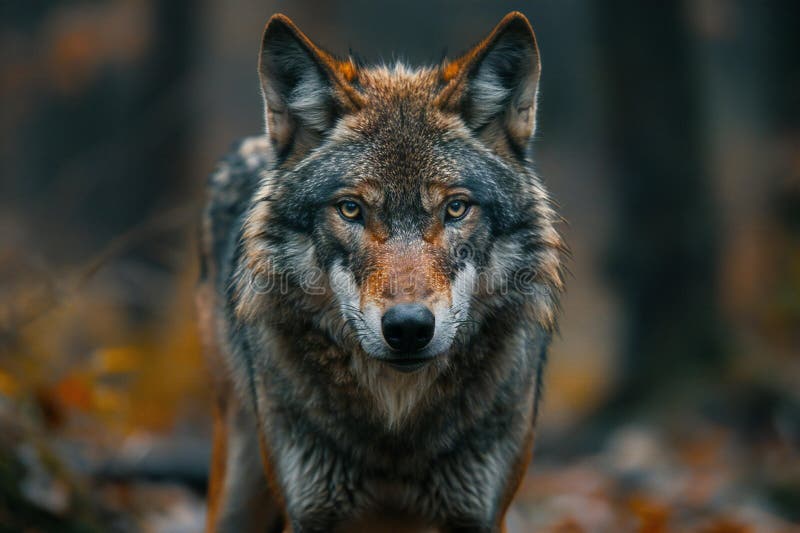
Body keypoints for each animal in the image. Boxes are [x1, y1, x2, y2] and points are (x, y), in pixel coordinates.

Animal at [196, 11, 566, 533]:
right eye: (351, 209)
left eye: (455, 208)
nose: (408, 327)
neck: (397, 417)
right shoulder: (309, 513)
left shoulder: (479, 513)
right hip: (239, 481)